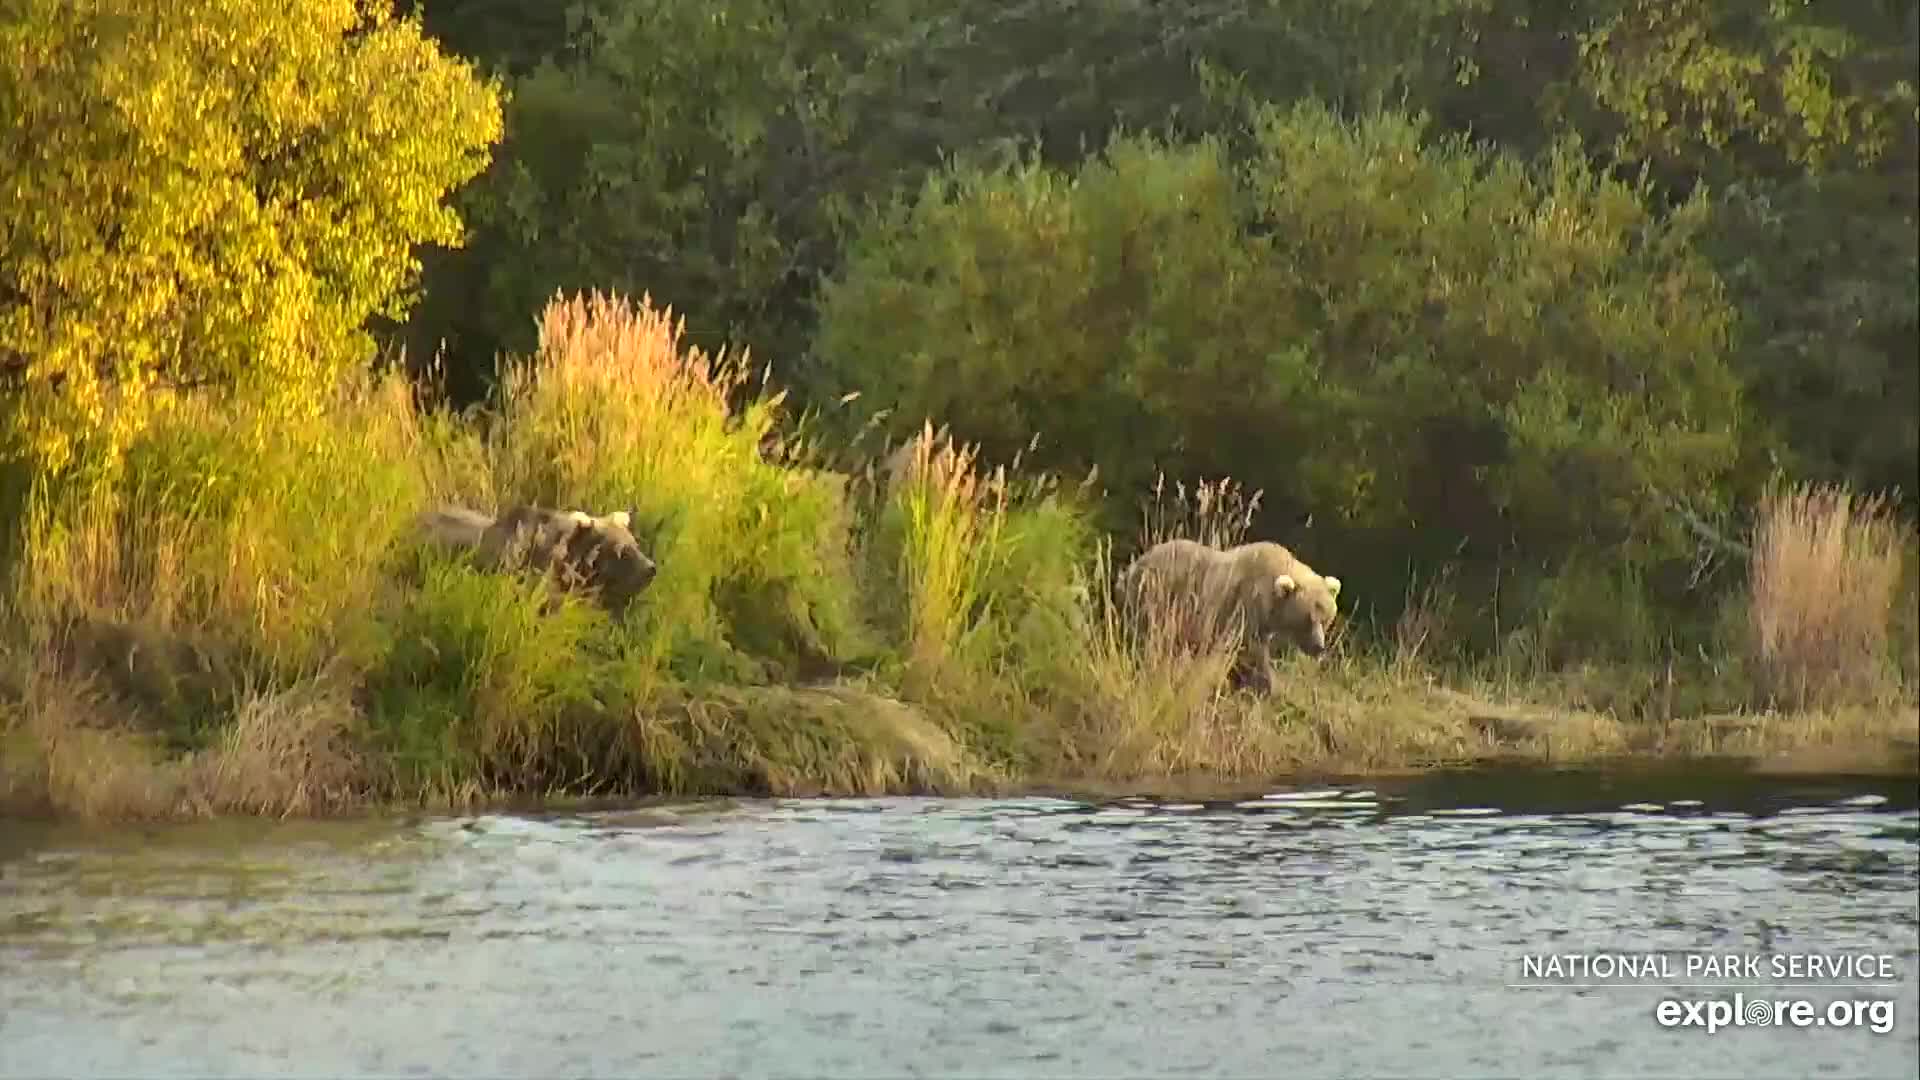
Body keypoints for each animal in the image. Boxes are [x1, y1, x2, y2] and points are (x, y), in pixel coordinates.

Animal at [1117, 538, 1343, 690]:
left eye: (1326, 619)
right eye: (1306, 619)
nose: (1319, 646)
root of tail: (1134, 565)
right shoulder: (1242, 609)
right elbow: (1250, 653)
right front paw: (1268, 684)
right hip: (1155, 597)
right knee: (1147, 639)